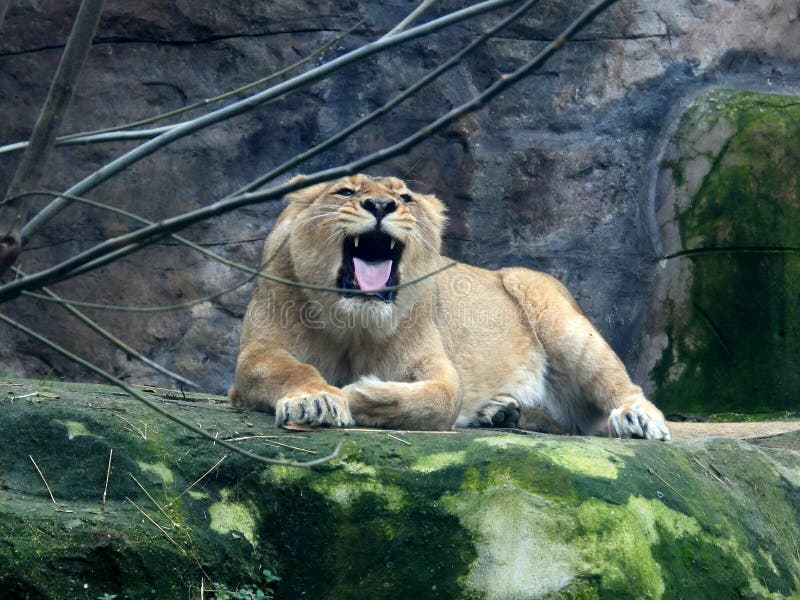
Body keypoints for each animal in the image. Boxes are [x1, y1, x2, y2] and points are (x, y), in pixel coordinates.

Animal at [230, 174, 671, 440]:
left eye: (404, 198)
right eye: (346, 192)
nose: (380, 206)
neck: (351, 324)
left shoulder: (437, 369)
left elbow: (441, 399)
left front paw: (357, 393)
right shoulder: (256, 353)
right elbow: (289, 369)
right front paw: (316, 399)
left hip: (553, 310)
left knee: (616, 392)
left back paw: (638, 419)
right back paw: (502, 413)